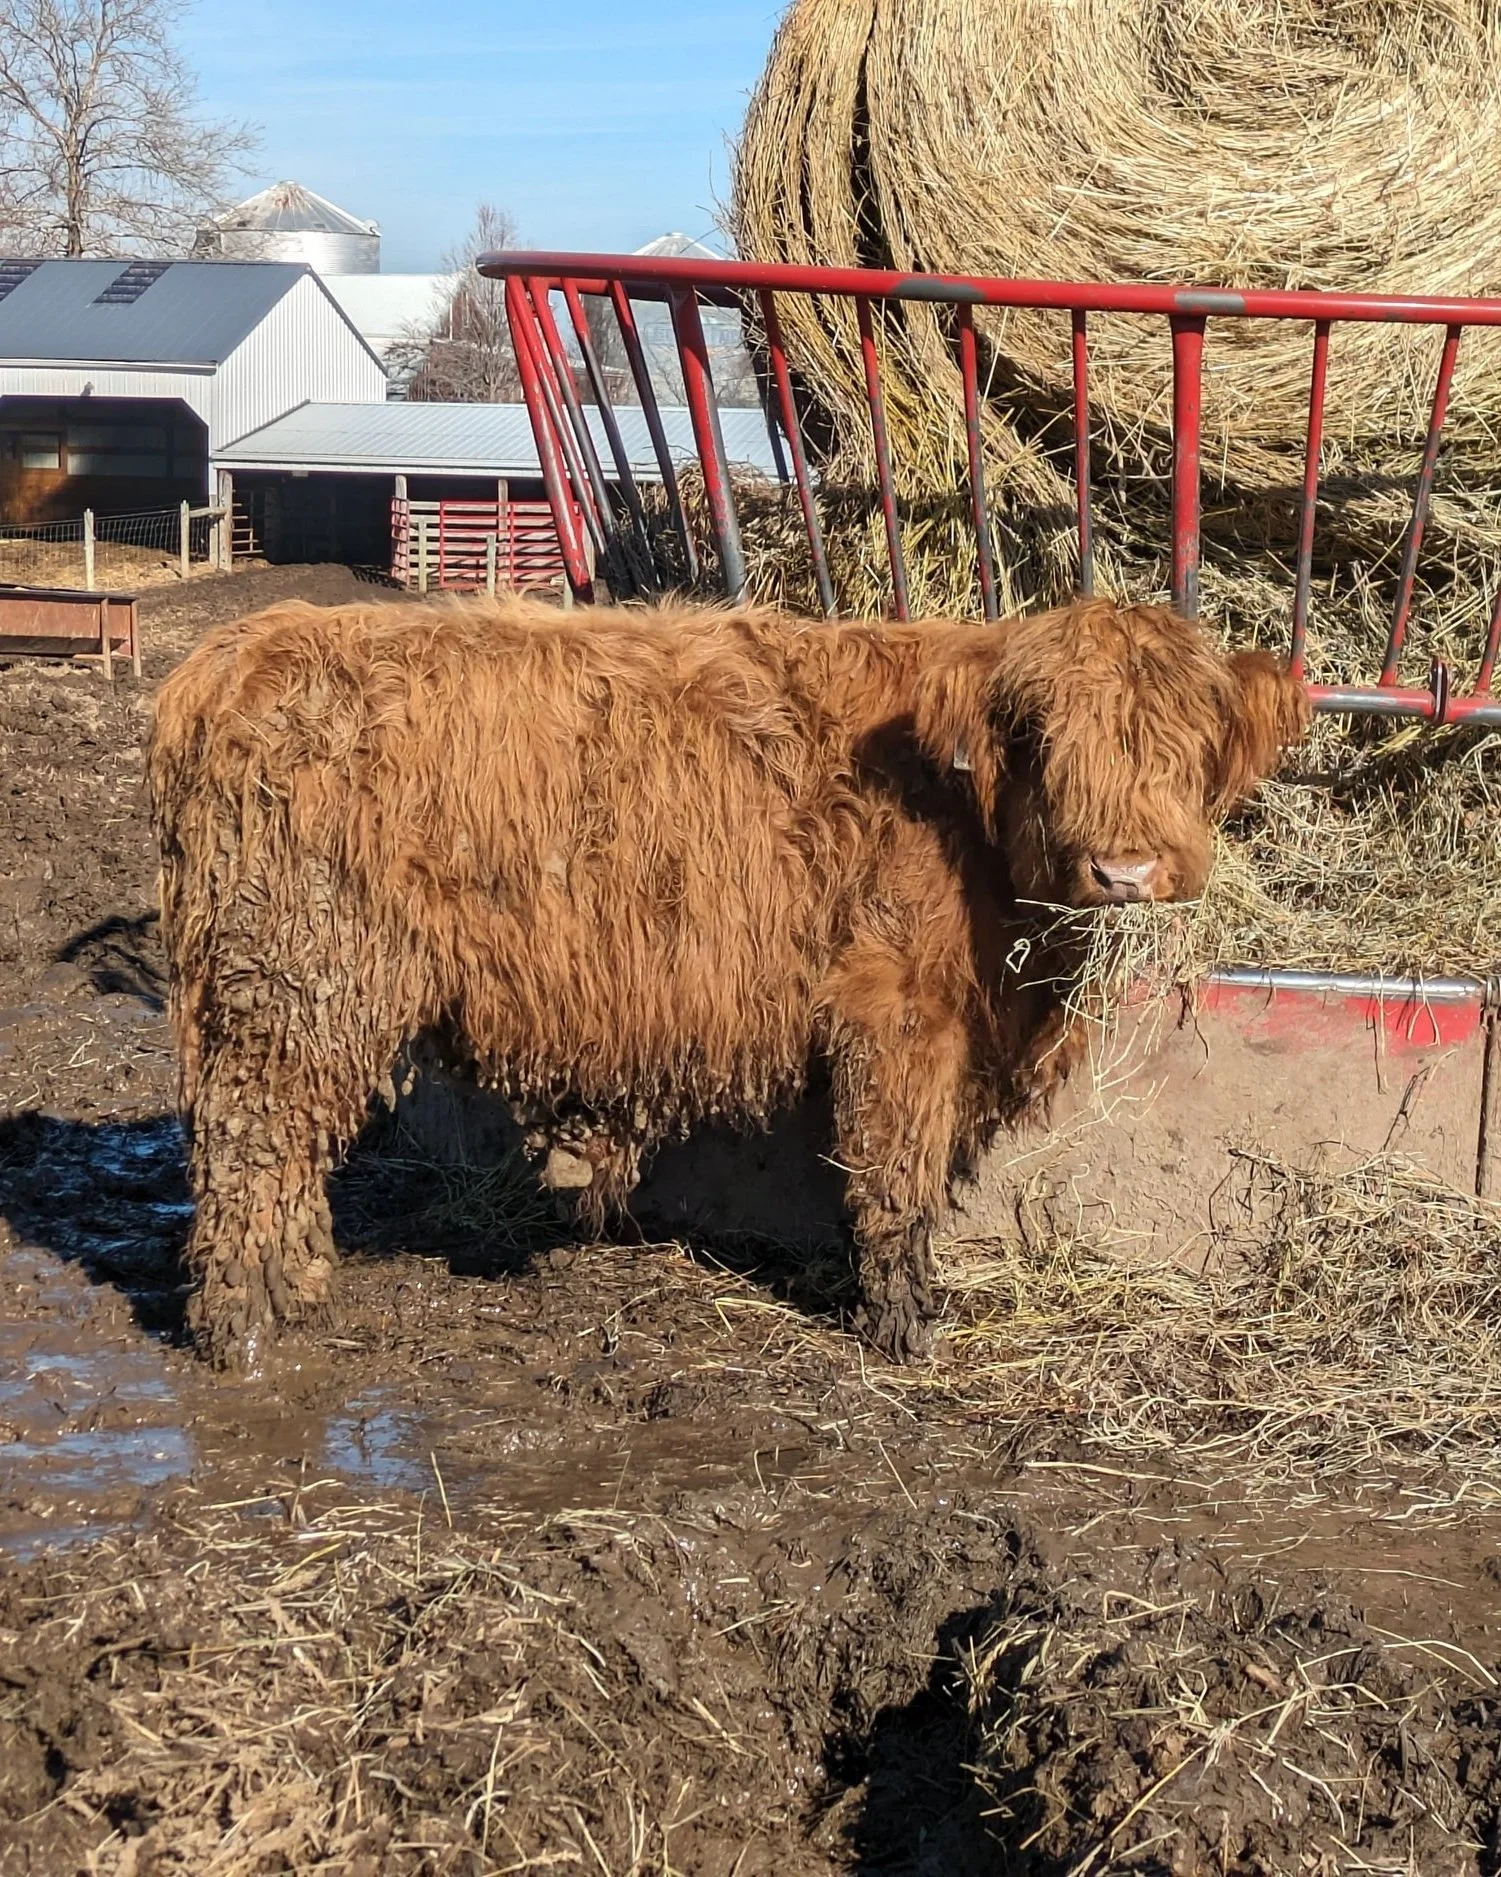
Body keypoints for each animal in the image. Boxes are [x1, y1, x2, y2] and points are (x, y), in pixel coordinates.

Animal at [147, 593, 1307, 1367]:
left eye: (1186, 743)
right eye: (1043, 740)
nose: (1123, 869)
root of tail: (247, 648)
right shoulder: (897, 1011)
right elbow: (894, 1173)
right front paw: (901, 1325)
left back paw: (296, 1288)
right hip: (296, 984)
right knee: (252, 1144)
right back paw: (244, 1325)